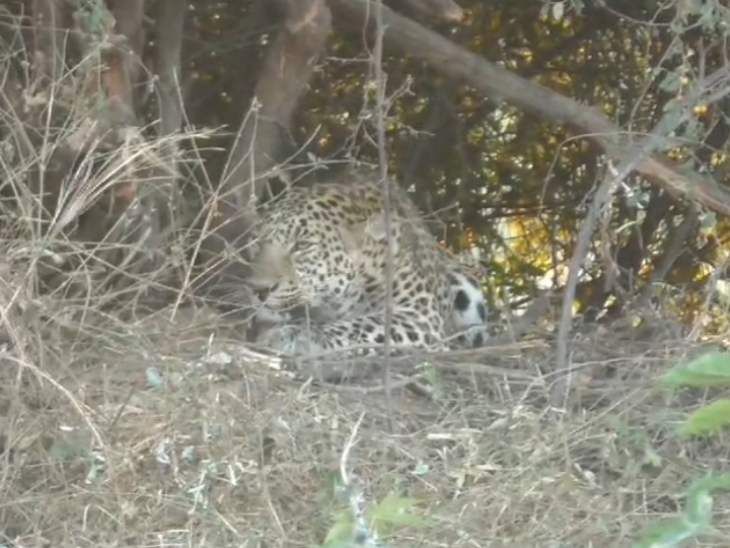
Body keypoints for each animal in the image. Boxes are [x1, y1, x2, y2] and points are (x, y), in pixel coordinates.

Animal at [245, 177, 488, 357]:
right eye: (258, 242)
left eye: (302, 245)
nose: (258, 290)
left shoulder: (419, 316)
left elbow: (366, 324)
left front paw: (298, 336)